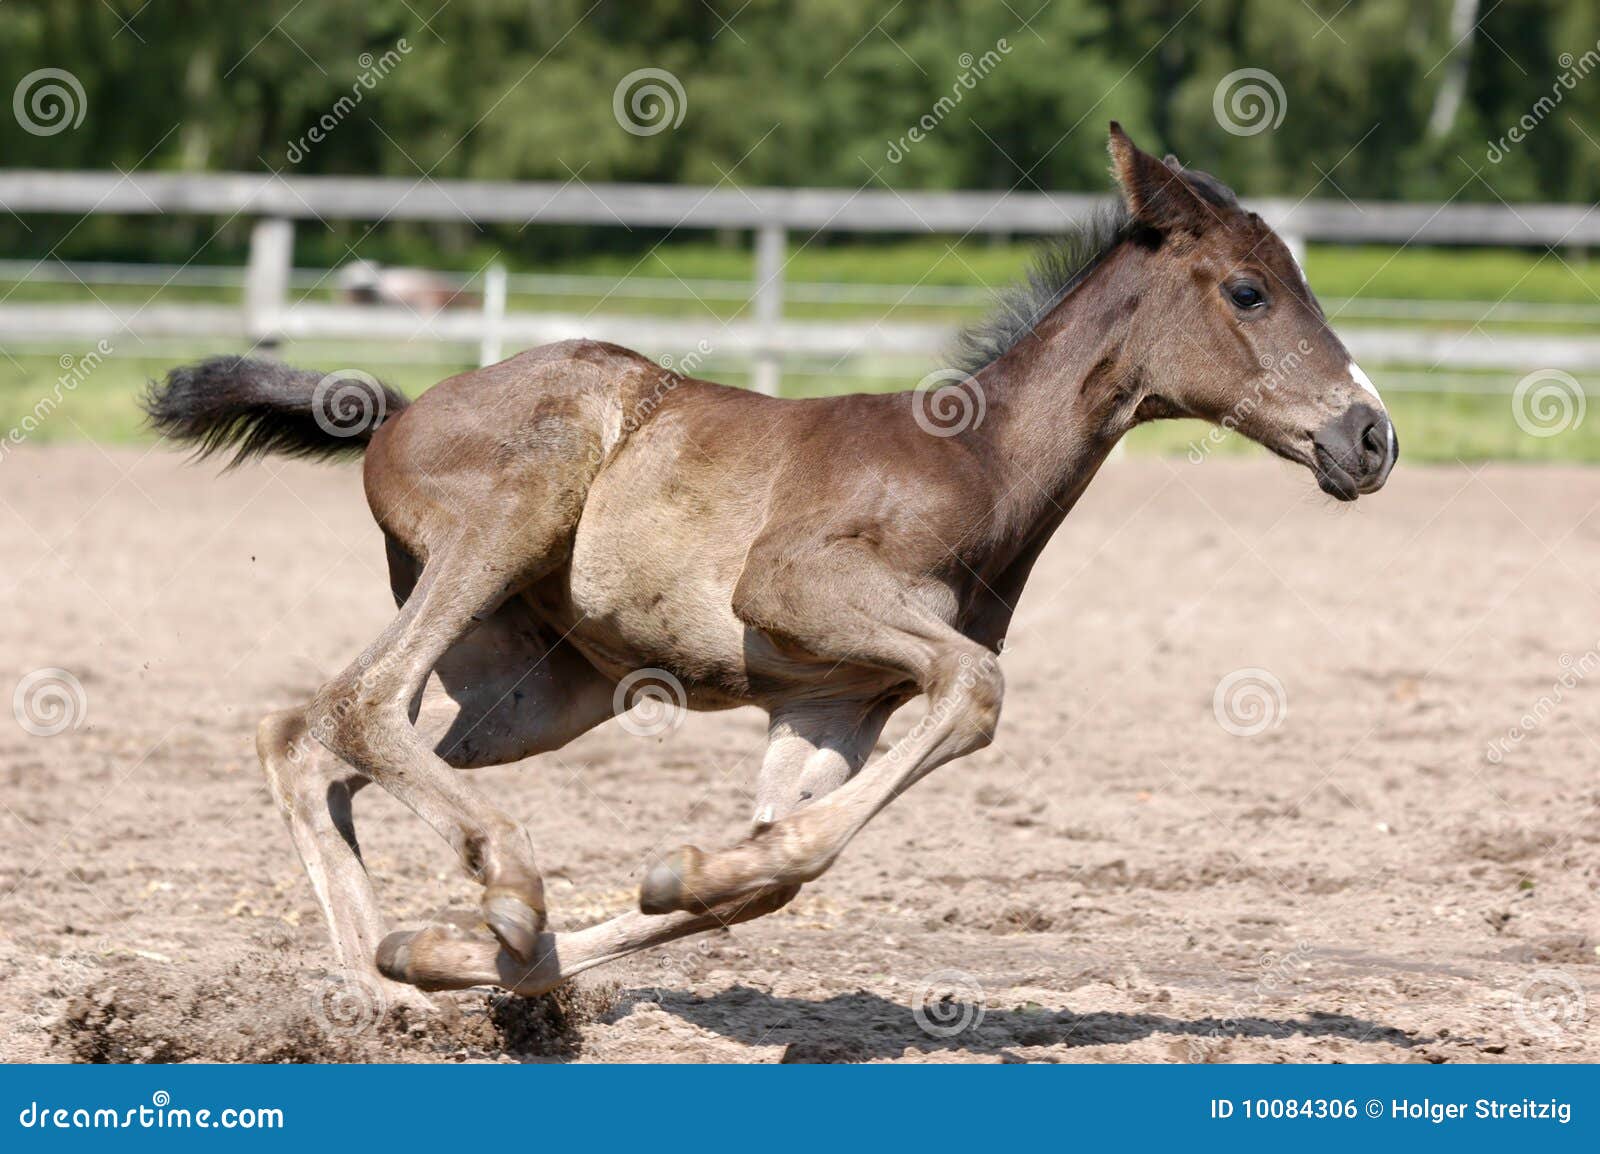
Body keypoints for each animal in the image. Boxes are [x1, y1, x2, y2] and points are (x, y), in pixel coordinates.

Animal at [144, 124, 1397, 1008]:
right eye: (1248, 291)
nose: (1369, 436)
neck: (978, 458)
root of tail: (398, 409)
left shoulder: (831, 702)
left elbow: (772, 871)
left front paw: (629, 892)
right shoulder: (796, 594)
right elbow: (975, 691)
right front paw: (564, 914)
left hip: (542, 690)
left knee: (315, 740)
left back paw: (385, 978)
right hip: (505, 534)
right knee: (360, 704)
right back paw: (500, 883)